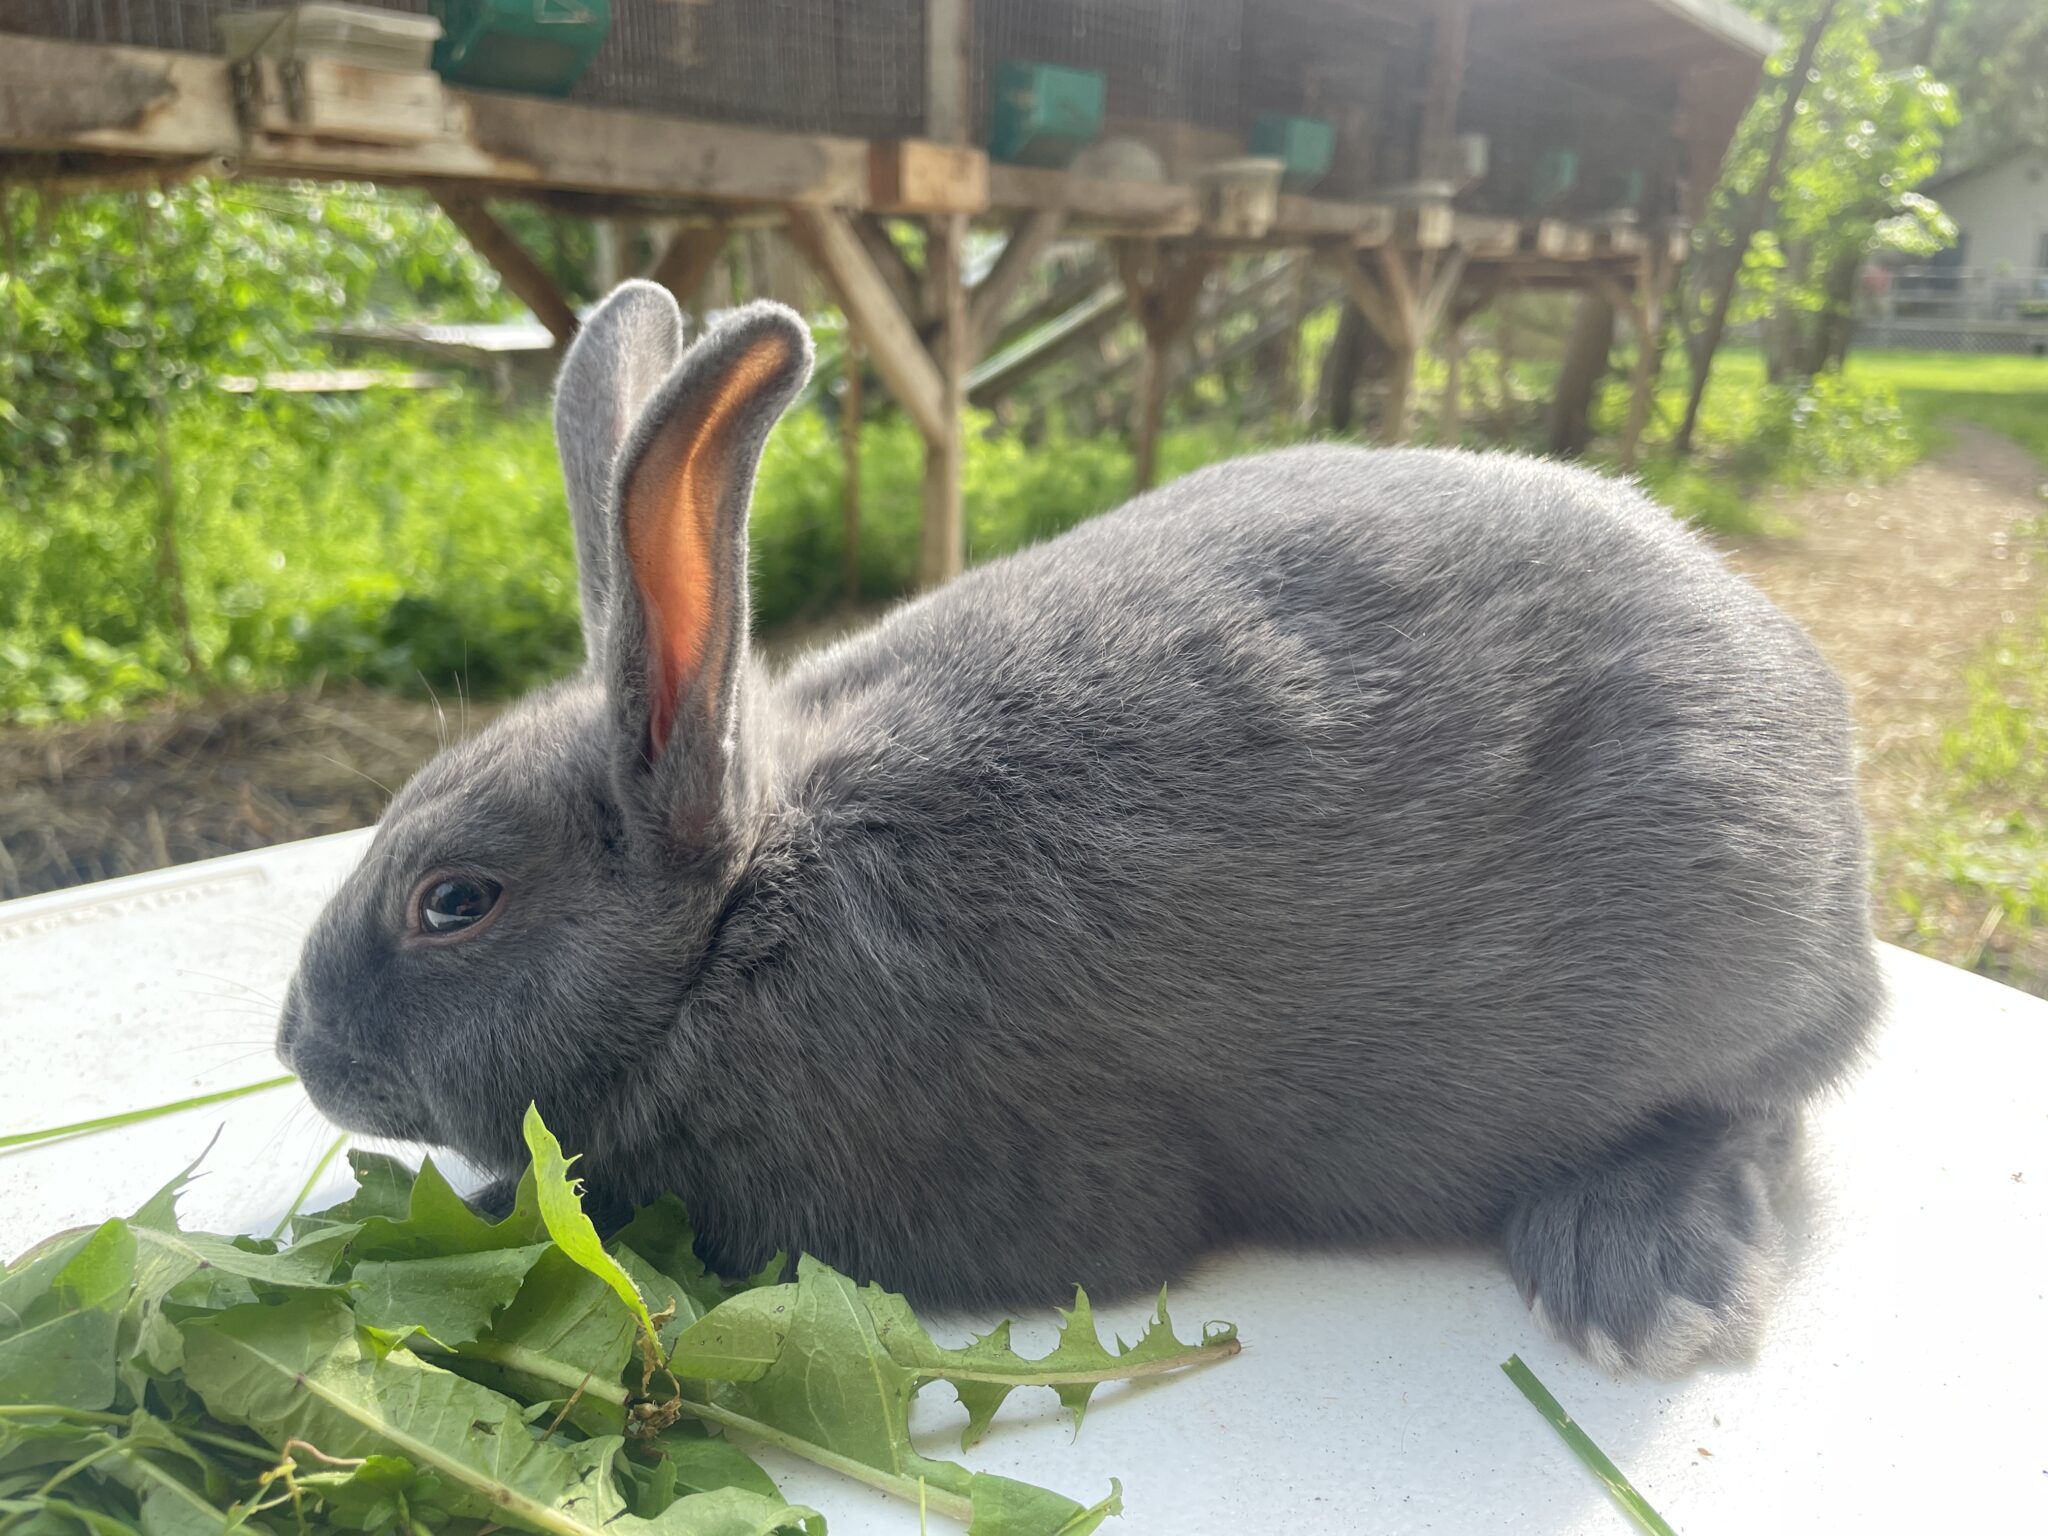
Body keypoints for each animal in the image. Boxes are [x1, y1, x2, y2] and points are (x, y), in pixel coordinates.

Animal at [278, 280, 1882, 1375]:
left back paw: (1640, 1278)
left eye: (455, 901)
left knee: (1755, 1103)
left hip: (1715, 957)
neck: (743, 908)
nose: (299, 1050)